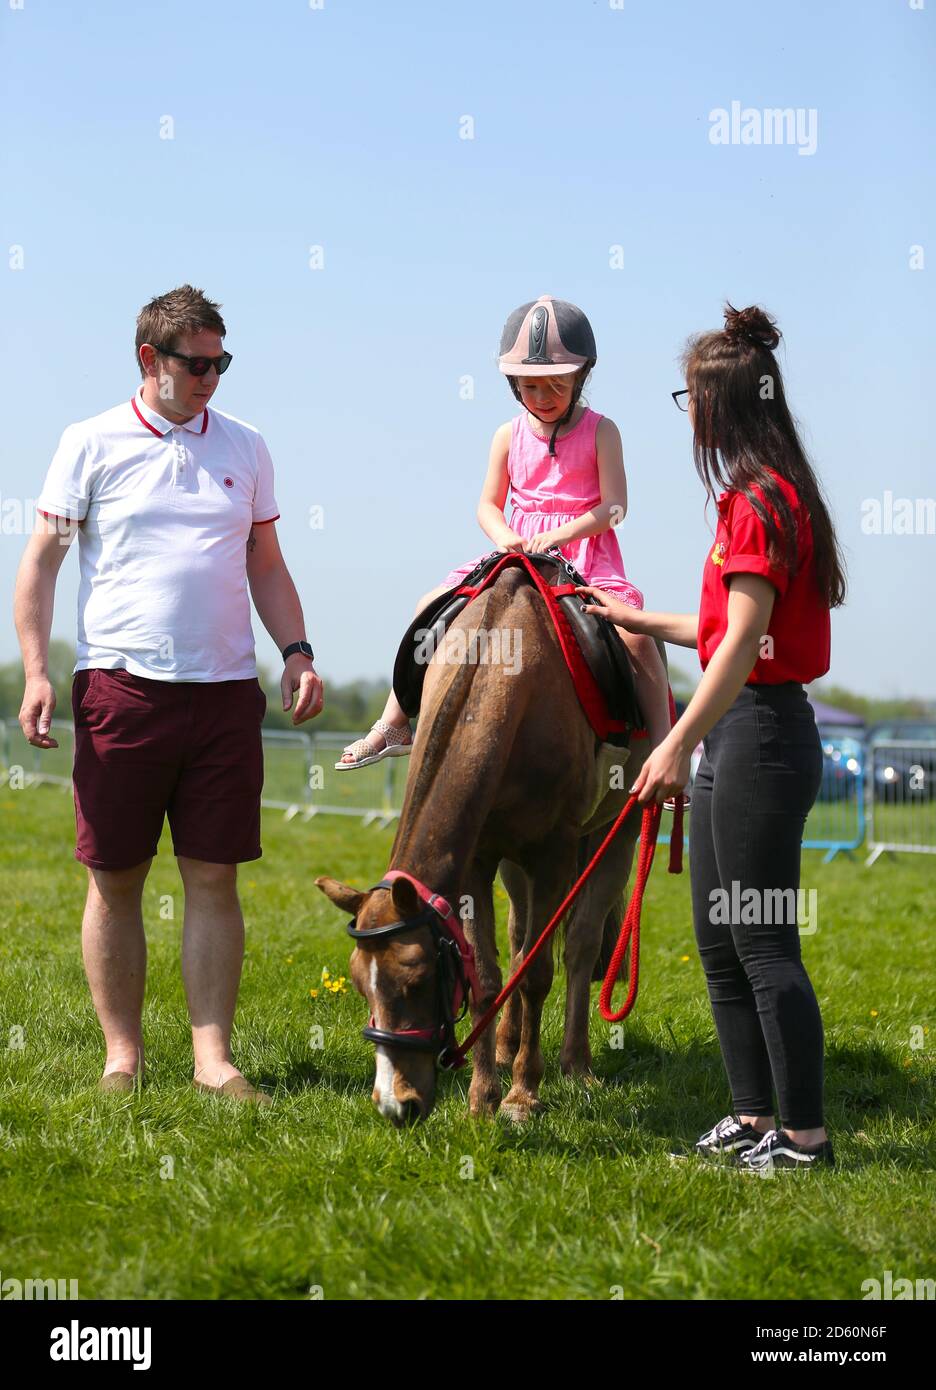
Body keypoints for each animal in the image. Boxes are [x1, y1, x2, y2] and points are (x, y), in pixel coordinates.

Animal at [315, 565, 650, 1125]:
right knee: (518, 938)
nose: (394, 1104)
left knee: (580, 947)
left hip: (614, 838)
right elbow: (491, 976)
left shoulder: (554, 853)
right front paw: (482, 1096)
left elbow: (537, 974)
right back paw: (506, 1045)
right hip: (515, 865)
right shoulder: (478, 856)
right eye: (361, 985)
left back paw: (576, 1065)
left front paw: (521, 1096)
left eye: (418, 982)